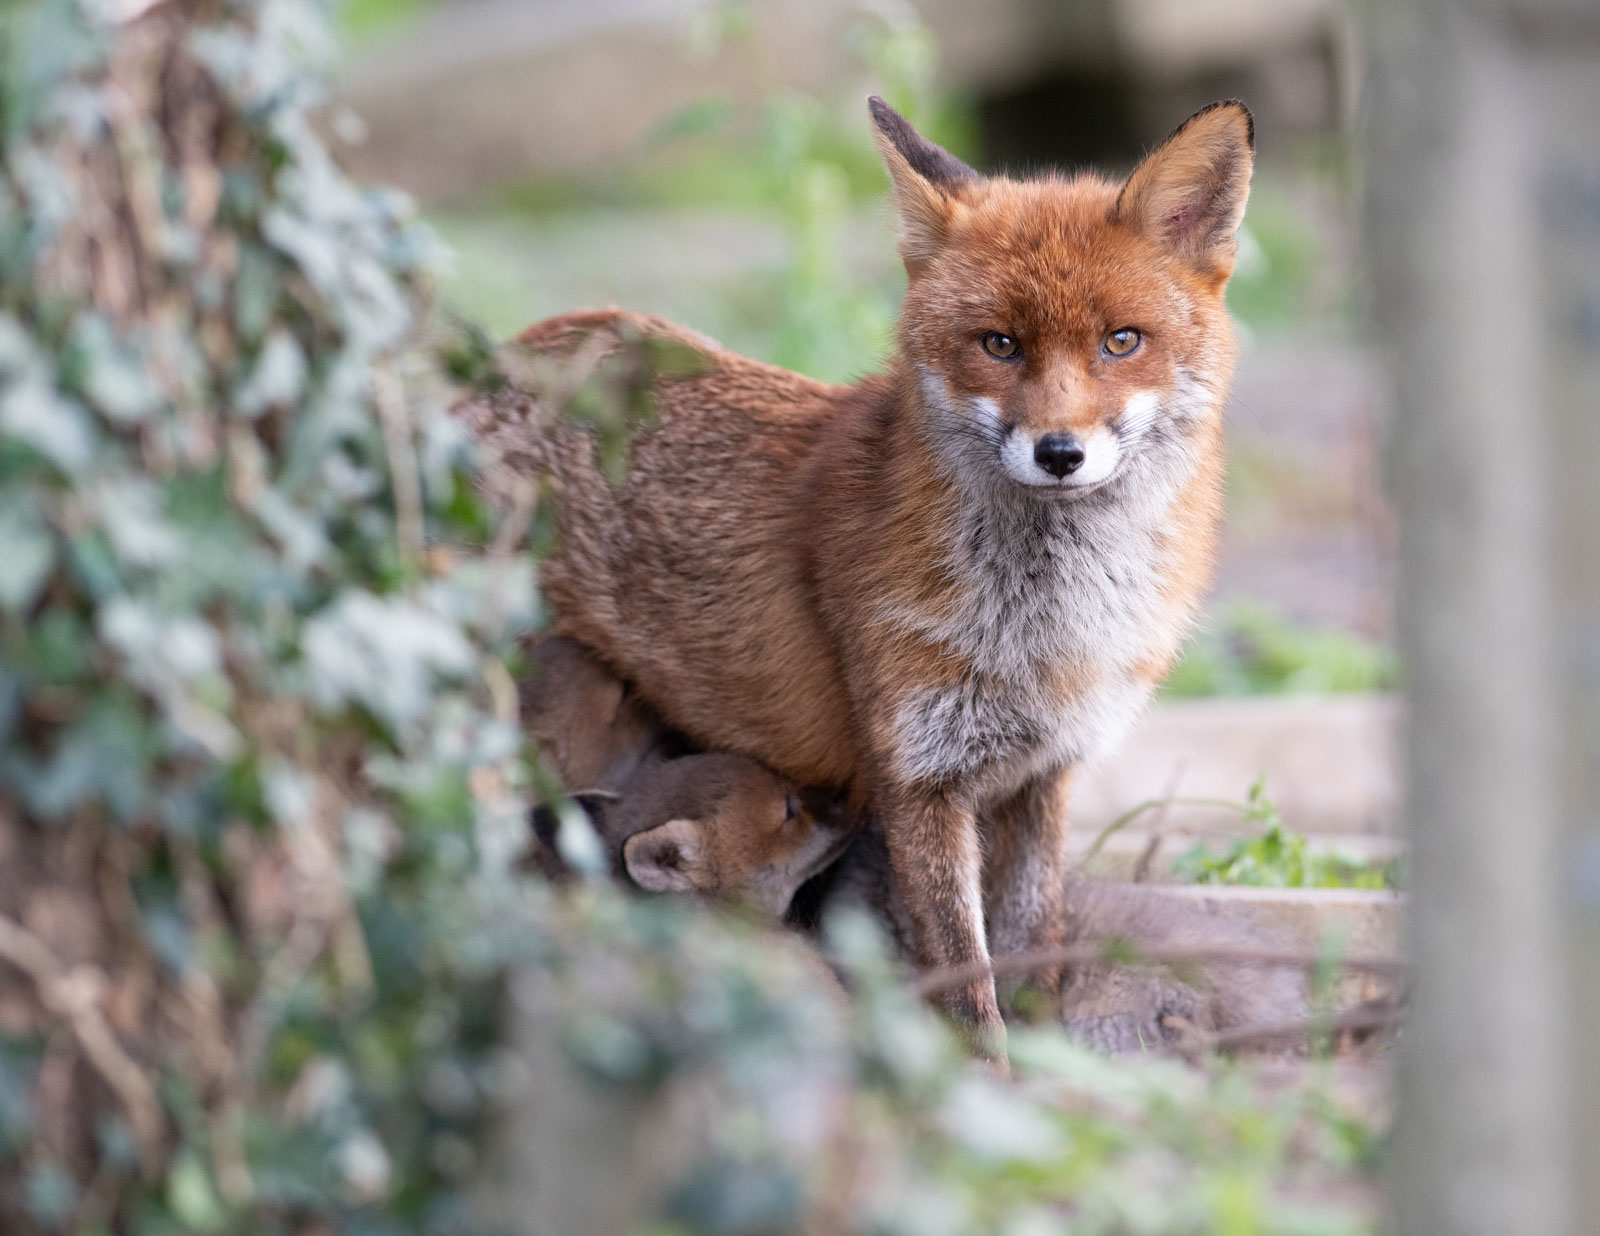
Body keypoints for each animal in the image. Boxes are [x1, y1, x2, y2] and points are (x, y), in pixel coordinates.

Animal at [462, 97, 1254, 1062]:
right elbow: (968, 992)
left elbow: (1036, 951)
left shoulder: (1044, 775)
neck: (1045, 634)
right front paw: (989, 1089)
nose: (1059, 453)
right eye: (999, 345)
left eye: (1121, 342)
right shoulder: (918, 778)